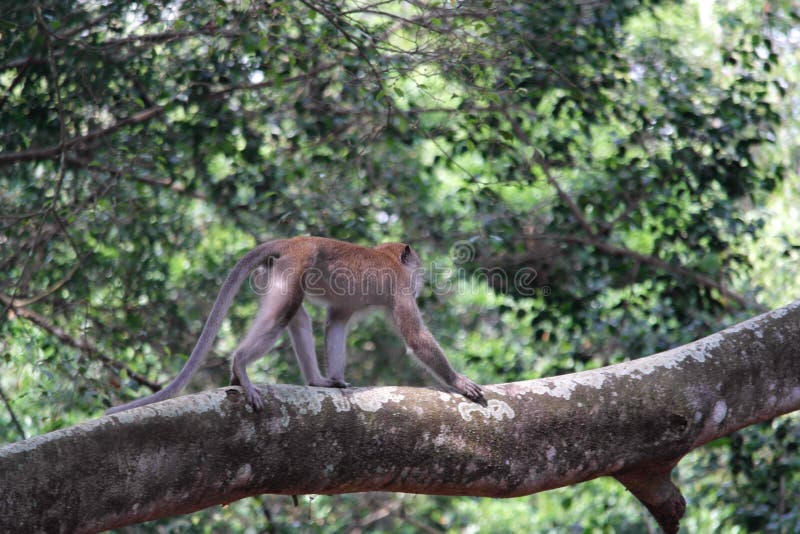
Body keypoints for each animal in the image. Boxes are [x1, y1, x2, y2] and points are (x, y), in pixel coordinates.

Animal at [106, 236, 484, 414]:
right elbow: (415, 337)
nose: (422, 283)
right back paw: (241, 366)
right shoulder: (399, 288)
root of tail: (292, 242)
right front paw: (458, 381)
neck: (387, 256)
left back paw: (316, 380)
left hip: (274, 271)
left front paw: (336, 378)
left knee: (297, 316)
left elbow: (335, 323)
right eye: (417, 269)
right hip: (292, 267)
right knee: (284, 313)